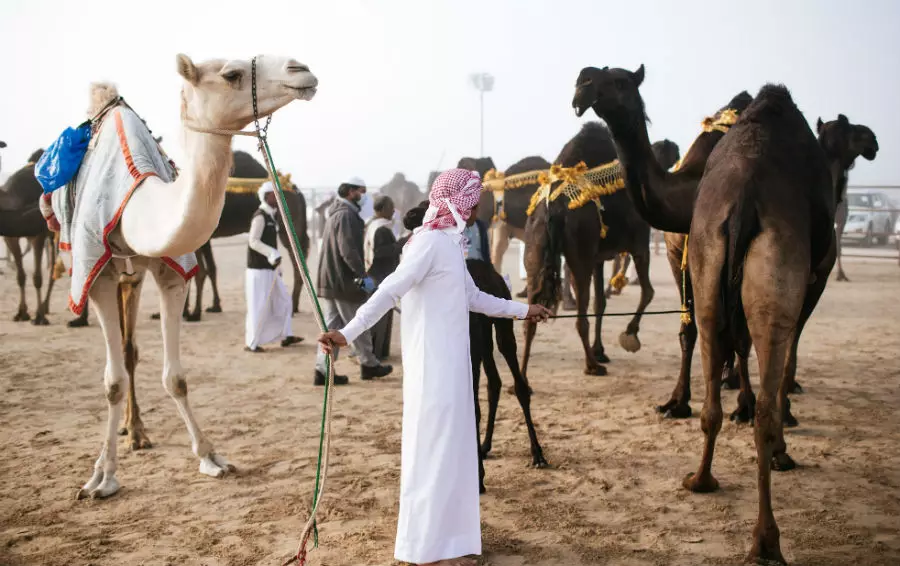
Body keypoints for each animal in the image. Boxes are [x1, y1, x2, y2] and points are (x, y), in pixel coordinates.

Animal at [0, 150, 57, 328]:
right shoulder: (10, 237)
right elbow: (21, 277)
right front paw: (21, 313)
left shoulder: (37, 235)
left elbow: (37, 278)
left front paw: (39, 317)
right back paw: (46, 305)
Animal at [68, 52, 318, 502]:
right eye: (231, 74)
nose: (300, 68)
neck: (135, 206)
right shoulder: (96, 278)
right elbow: (112, 381)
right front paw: (102, 476)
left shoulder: (170, 270)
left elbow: (177, 377)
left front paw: (210, 456)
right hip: (118, 276)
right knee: (124, 355)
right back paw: (130, 434)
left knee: (131, 350)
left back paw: (138, 432)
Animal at [402, 202, 548, 494]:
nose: (408, 216)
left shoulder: (470, 354)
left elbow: (472, 407)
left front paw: (477, 478)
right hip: (484, 345)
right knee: (495, 382)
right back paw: (485, 446)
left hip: (500, 330)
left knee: (517, 383)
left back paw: (537, 453)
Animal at [520, 122, 652, 380]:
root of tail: (553, 209)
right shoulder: (640, 243)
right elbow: (647, 293)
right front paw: (629, 337)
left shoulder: (598, 257)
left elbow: (600, 303)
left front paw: (601, 350)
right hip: (580, 253)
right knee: (580, 317)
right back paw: (592, 366)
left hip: (535, 247)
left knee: (532, 311)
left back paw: (521, 379)